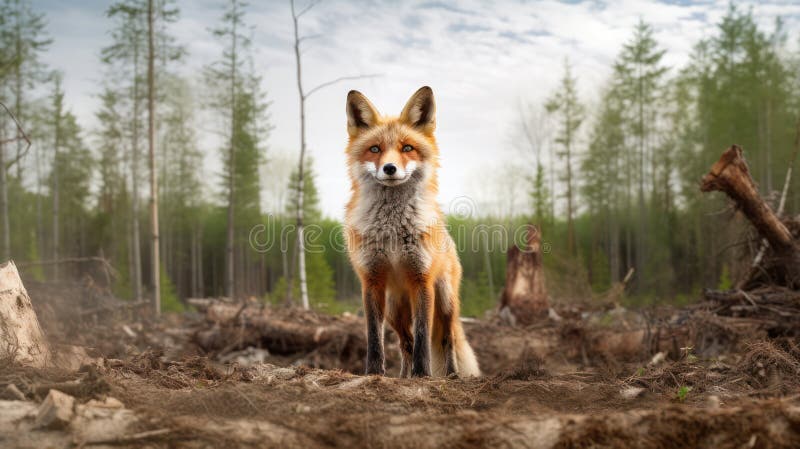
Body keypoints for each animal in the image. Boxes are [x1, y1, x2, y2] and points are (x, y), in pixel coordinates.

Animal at [343, 86, 480, 378]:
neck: (393, 230)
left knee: (446, 339)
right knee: (404, 344)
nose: (390, 168)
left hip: (446, 303)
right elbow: (375, 338)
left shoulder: (422, 281)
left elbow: (423, 338)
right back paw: (402, 376)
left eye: (407, 148)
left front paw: (423, 374)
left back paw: (451, 374)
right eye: (375, 149)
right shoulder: (371, 281)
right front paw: (374, 373)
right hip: (394, 311)